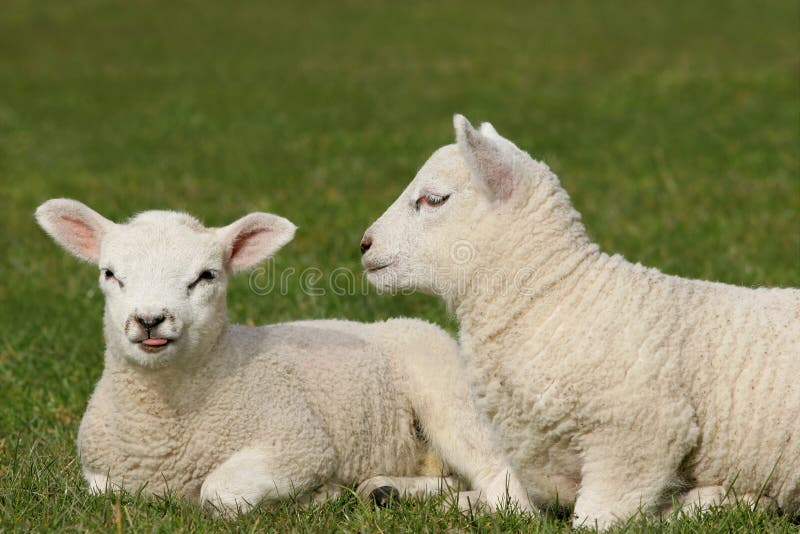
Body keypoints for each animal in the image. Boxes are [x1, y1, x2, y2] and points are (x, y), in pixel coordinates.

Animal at [34, 198, 531, 517]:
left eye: (206, 275)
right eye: (109, 274)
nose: (151, 319)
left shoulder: (299, 445)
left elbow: (220, 493)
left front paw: (319, 497)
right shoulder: (101, 473)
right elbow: (105, 492)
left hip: (449, 397)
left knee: (510, 496)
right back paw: (385, 491)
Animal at [360, 115, 800, 530]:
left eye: (434, 199)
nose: (364, 245)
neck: (561, 302)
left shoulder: (639, 438)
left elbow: (594, 520)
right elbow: (501, 499)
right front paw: (395, 494)